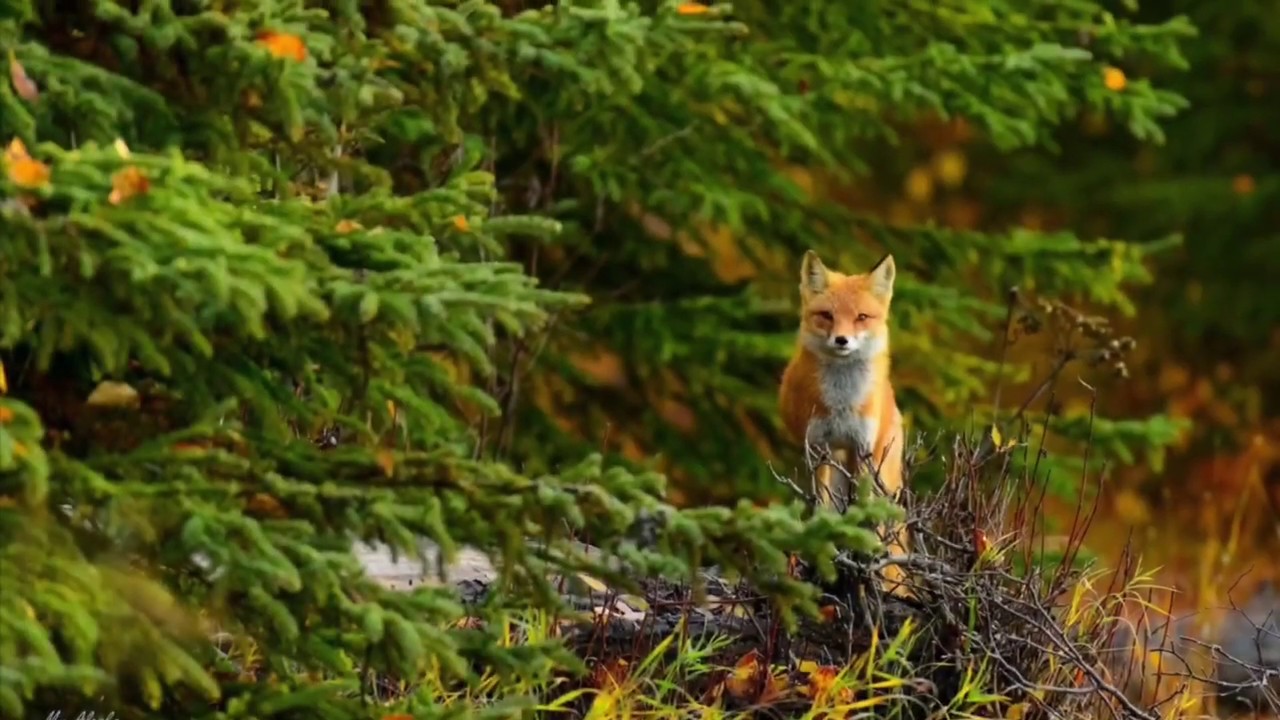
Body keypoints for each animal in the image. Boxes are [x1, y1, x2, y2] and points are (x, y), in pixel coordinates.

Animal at [778, 250, 911, 595]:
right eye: (826, 315)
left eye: (861, 317)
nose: (842, 340)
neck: (841, 403)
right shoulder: (818, 448)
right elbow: (820, 507)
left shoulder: (862, 449)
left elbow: (862, 512)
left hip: (879, 471)